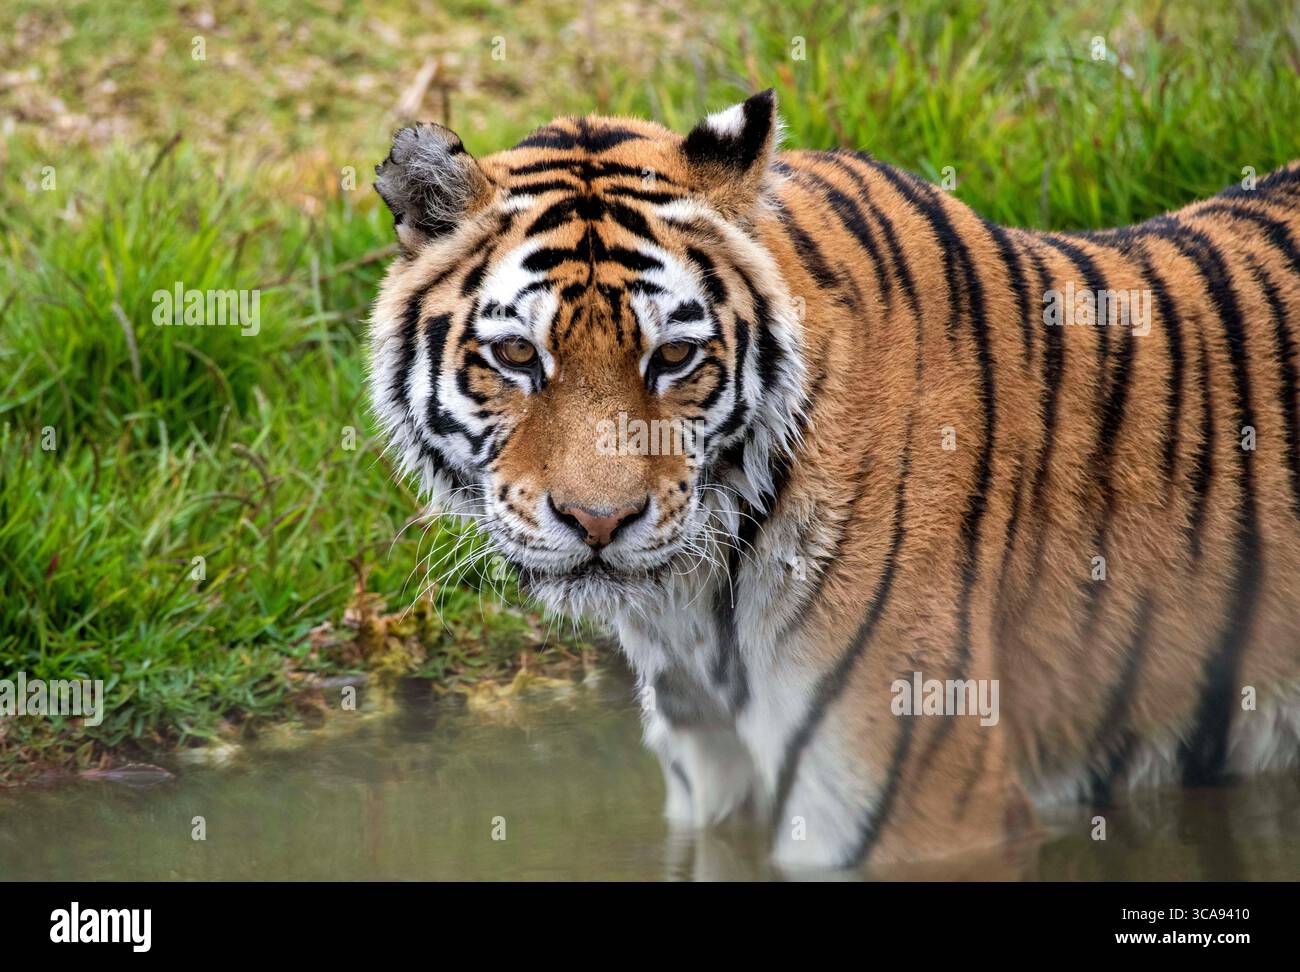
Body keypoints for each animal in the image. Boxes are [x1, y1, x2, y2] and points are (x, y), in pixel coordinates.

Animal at [366, 89, 1300, 871]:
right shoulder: (718, 797)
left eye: (674, 357)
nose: (600, 521)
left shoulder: (921, 812)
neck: (696, 612)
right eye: (517, 355)